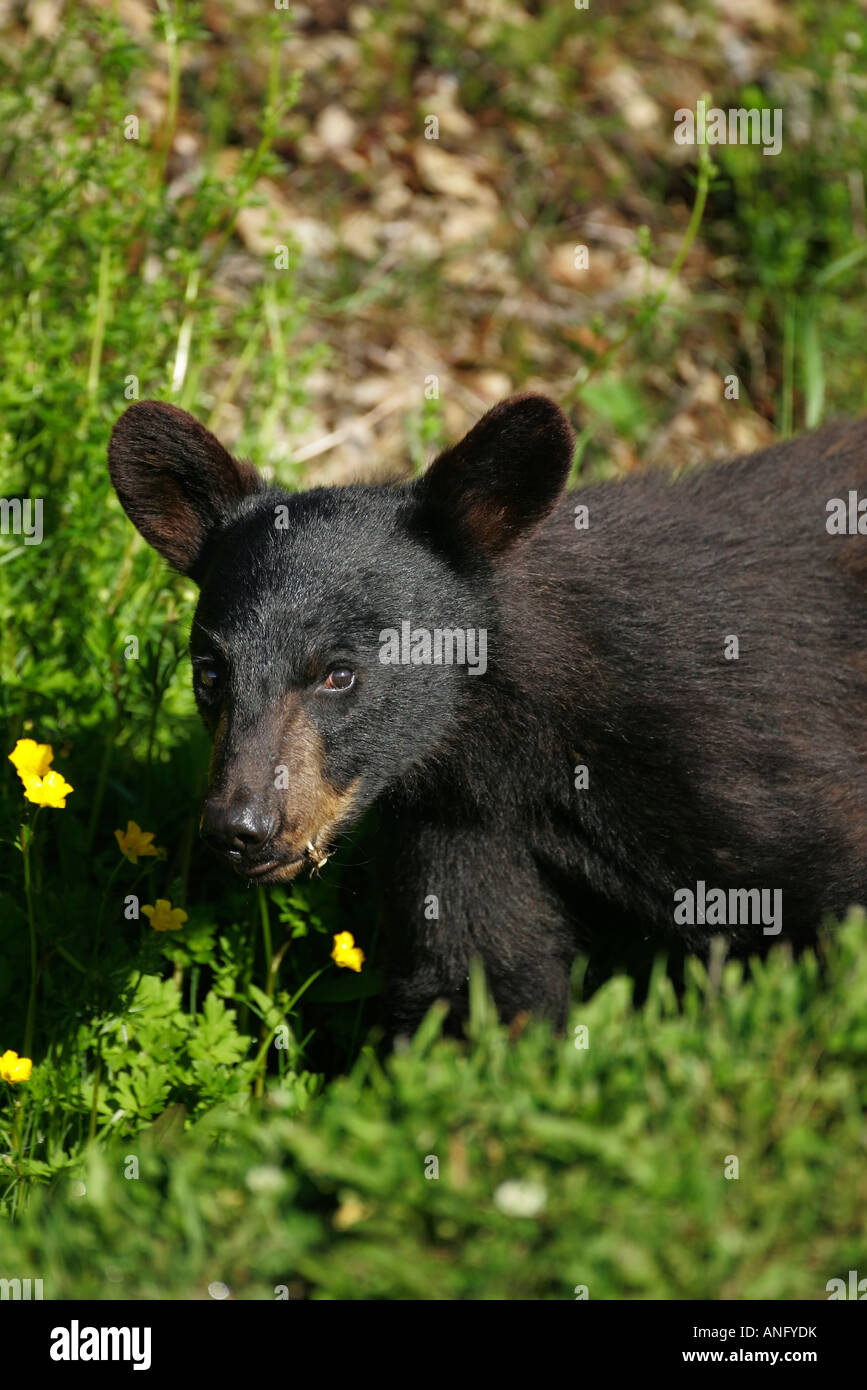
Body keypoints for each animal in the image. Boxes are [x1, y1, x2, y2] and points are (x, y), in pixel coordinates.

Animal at [108, 394, 867, 1037]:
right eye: (211, 675)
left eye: (338, 673)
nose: (240, 828)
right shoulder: (467, 820)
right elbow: (480, 984)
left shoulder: (739, 753)